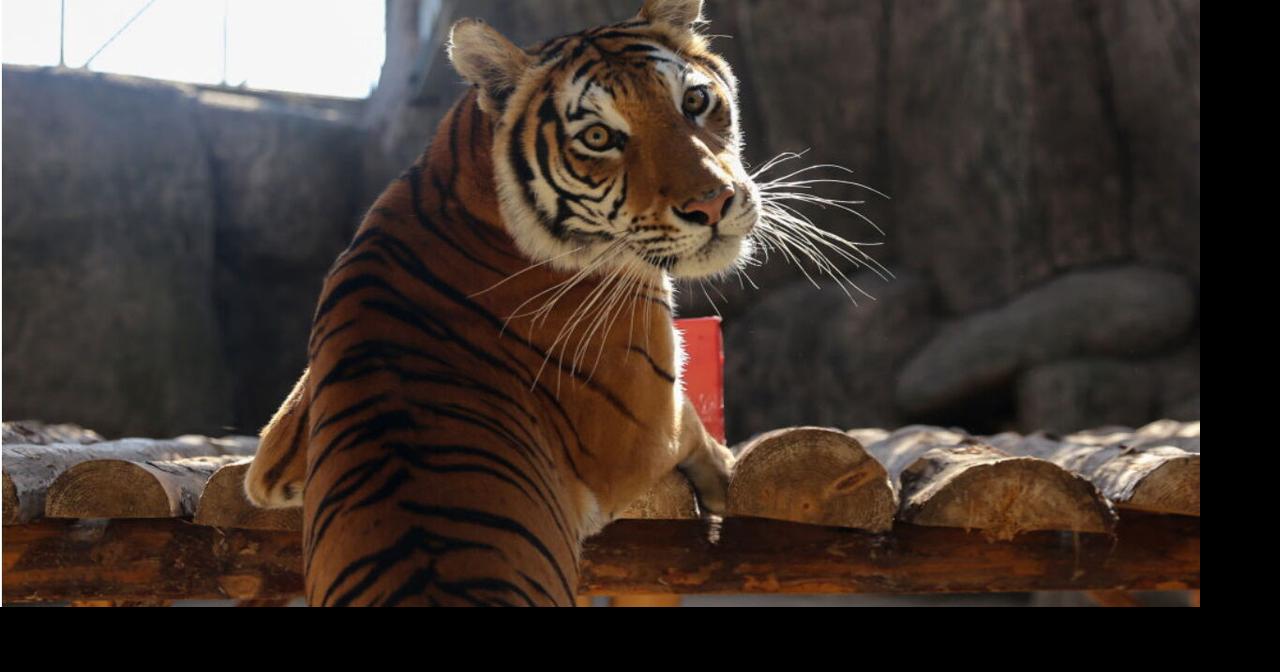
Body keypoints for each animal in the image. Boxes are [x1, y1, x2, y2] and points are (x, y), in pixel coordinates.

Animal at [245, 0, 760, 606]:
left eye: (695, 102)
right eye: (599, 137)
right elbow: (696, 426)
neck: (457, 177)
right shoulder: (646, 426)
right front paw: (724, 471)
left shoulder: (275, 450)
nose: (713, 203)